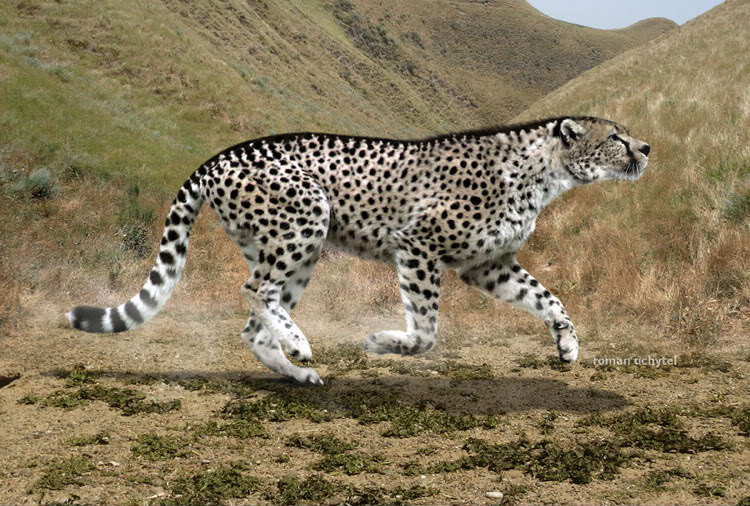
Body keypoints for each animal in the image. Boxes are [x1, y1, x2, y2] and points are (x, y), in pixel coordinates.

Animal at [67, 116, 650, 385]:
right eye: (615, 137)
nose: (645, 147)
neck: (544, 172)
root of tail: (219, 156)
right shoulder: (417, 245)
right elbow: (427, 332)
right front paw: (384, 342)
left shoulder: (488, 266)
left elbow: (549, 299)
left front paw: (567, 344)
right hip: (306, 219)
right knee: (253, 289)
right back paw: (299, 344)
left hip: (297, 251)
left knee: (255, 321)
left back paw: (297, 368)